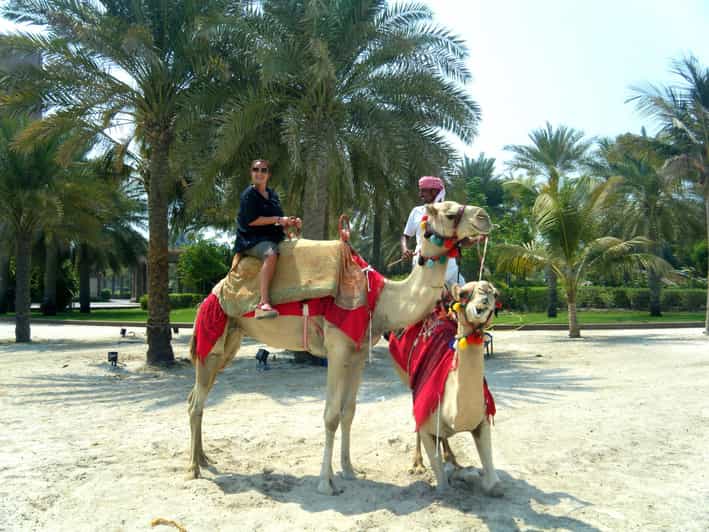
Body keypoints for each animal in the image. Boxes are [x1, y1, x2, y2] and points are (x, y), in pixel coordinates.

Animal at [186, 201, 492, 495]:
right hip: (213, 332)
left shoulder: (357, 354)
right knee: (196, 402)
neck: (380, 299)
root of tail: (213, 292)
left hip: (230, 341)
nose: (484, 217)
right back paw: (193, 469)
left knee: (196, 397)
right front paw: (326, 482)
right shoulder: (337, 348)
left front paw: (348, 469)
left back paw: (204, 459)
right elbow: (331, 415)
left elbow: (349, 411)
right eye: (450, 213)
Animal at [390, 280, 503, 495]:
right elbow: (443, 487)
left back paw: (452, 459)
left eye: (495, 293)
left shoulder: (482, 419)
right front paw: (424, 466)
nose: (485, 291)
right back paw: (418, 464)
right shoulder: (426, 417)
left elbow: (494, 484)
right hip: (408, 379)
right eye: (464, 293)